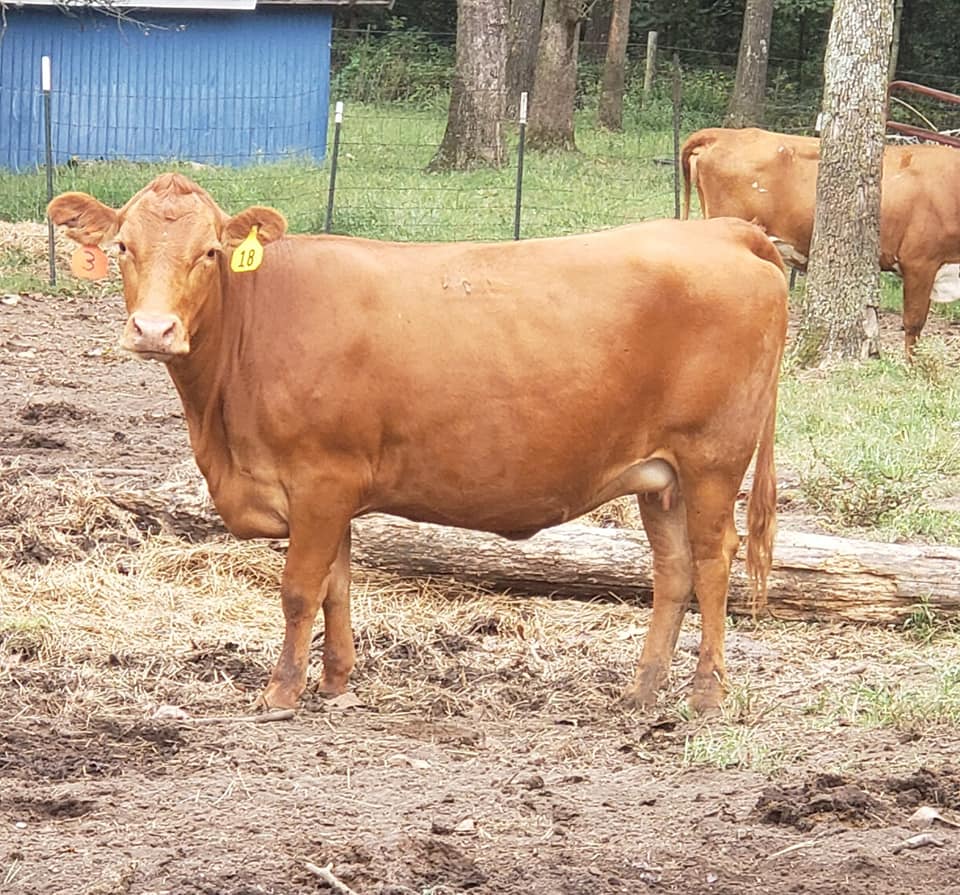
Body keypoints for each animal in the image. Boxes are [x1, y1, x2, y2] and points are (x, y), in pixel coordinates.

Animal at [48, 173, 787, 715]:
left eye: (208, 252)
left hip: (712, 460)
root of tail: (726, 231)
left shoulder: (320, 477)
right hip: (659, 476)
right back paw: (642, 688)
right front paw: (335, 682)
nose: (154, 330)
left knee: (713, 563)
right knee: (673, 570)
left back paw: (706, 692)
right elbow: (337, 584)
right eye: (123, 247)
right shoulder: (335, 488)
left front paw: (281, 692)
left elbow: (298, 588)